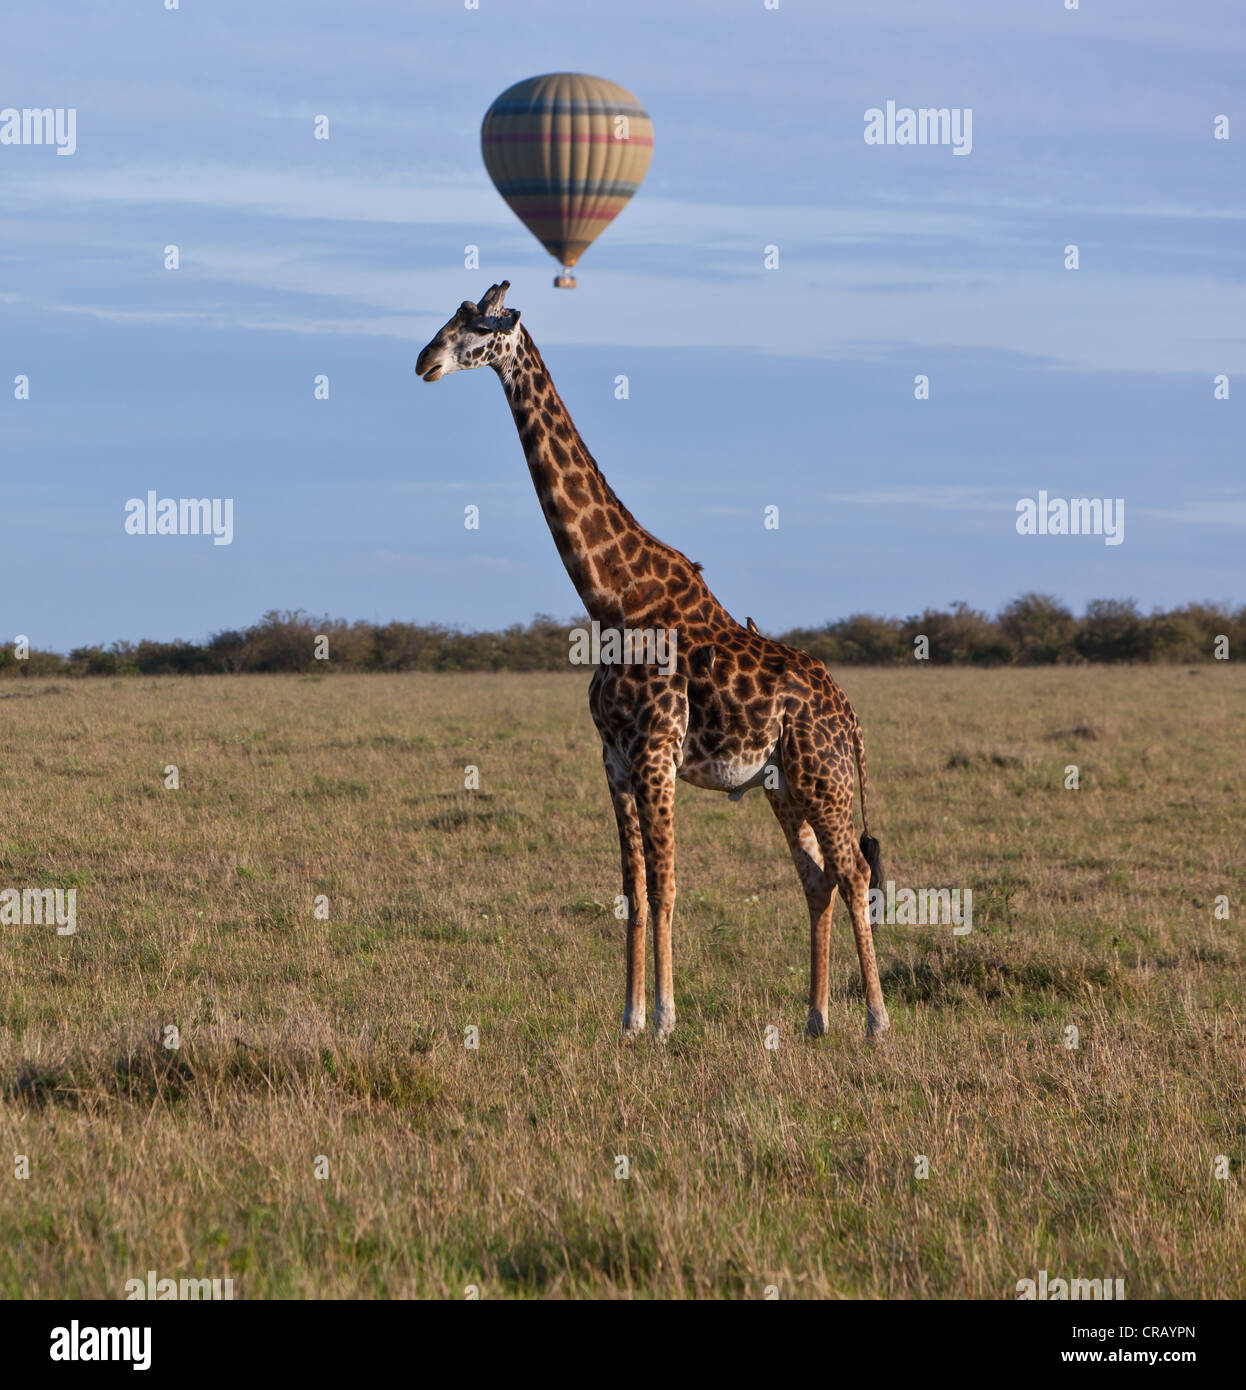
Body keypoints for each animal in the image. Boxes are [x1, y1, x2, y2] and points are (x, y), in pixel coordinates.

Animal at [416, 283, 890, 1042]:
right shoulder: (613, 759)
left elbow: (666, 884)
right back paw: (816, 1019)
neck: (610, 597)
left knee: (852, 873)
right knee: (816, 878)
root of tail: (850, 717)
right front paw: (630, 1017)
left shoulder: (656, 752)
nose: (424, 361)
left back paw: (875, 1021)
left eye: (481, 328)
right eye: (449, 318)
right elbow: (633, 889)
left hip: (826, 778)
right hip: (783, 784)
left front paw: (666, 1017)